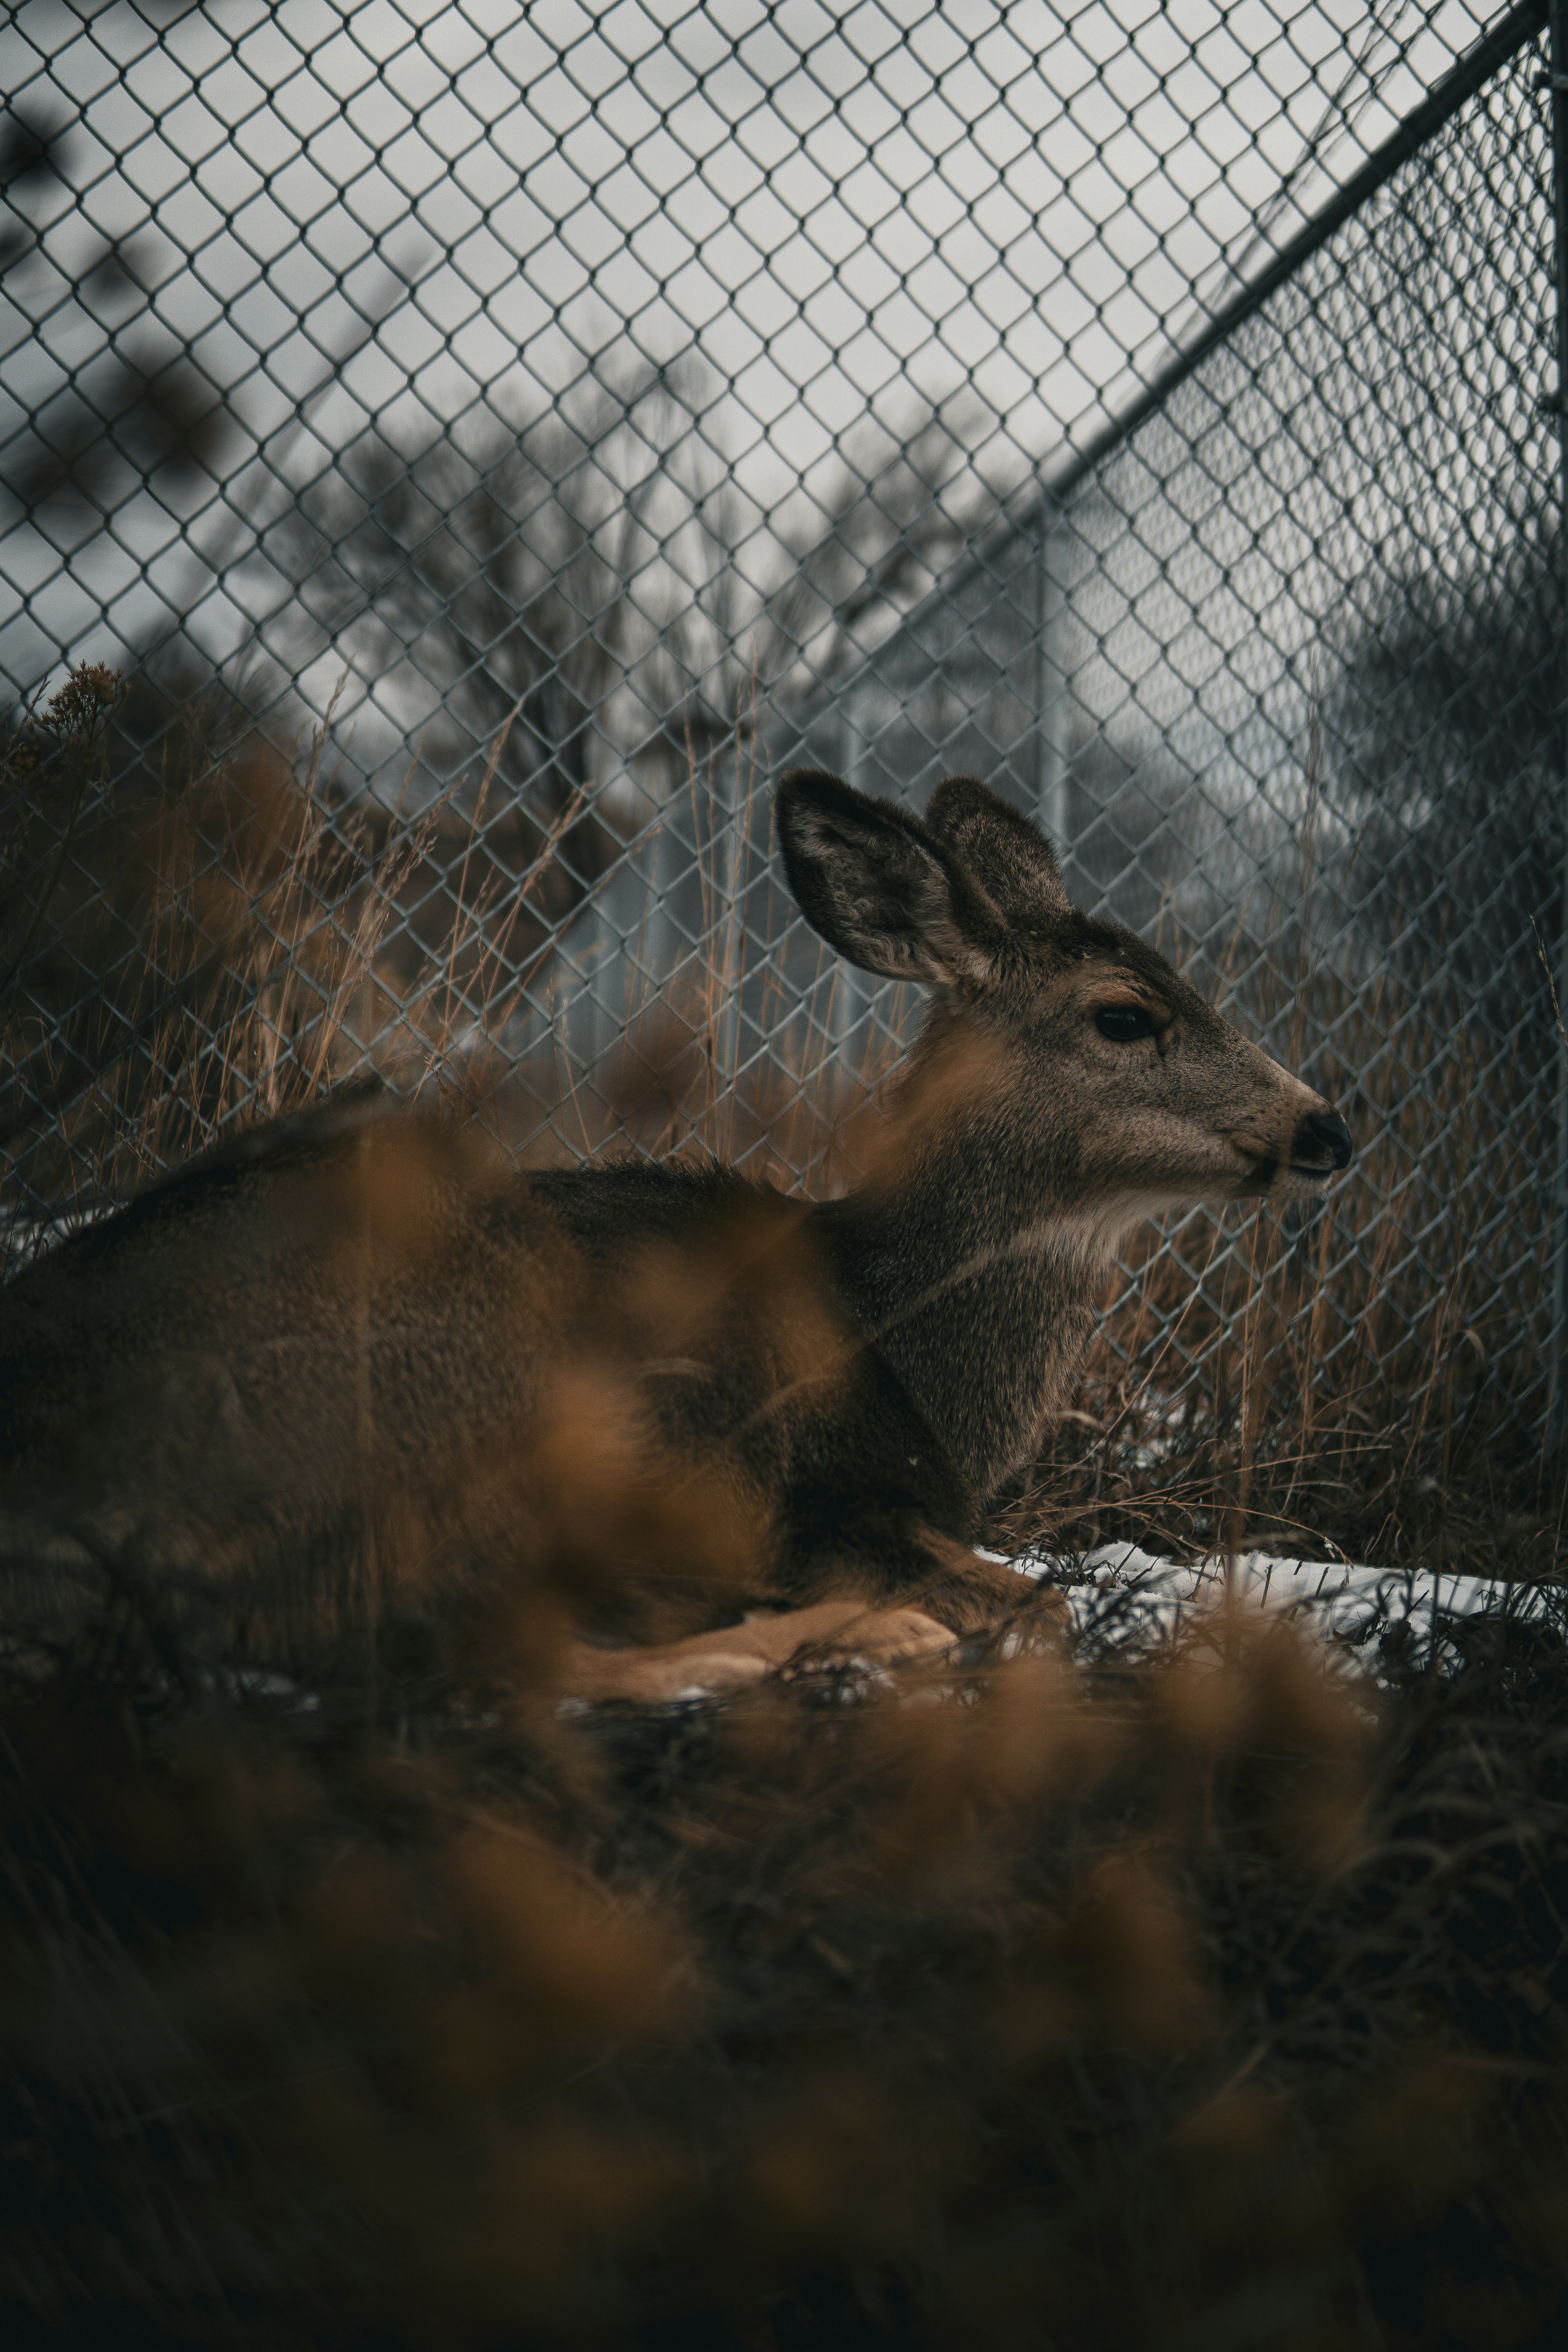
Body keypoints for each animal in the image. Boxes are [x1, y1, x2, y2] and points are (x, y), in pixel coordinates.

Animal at [0, 772, 1351, 1703]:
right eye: (1125, 1016)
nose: (1327, 1126)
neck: (901, 1341)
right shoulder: (826, 1505)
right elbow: (1040, 1610)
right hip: (469, 1391)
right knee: (470, 1650)